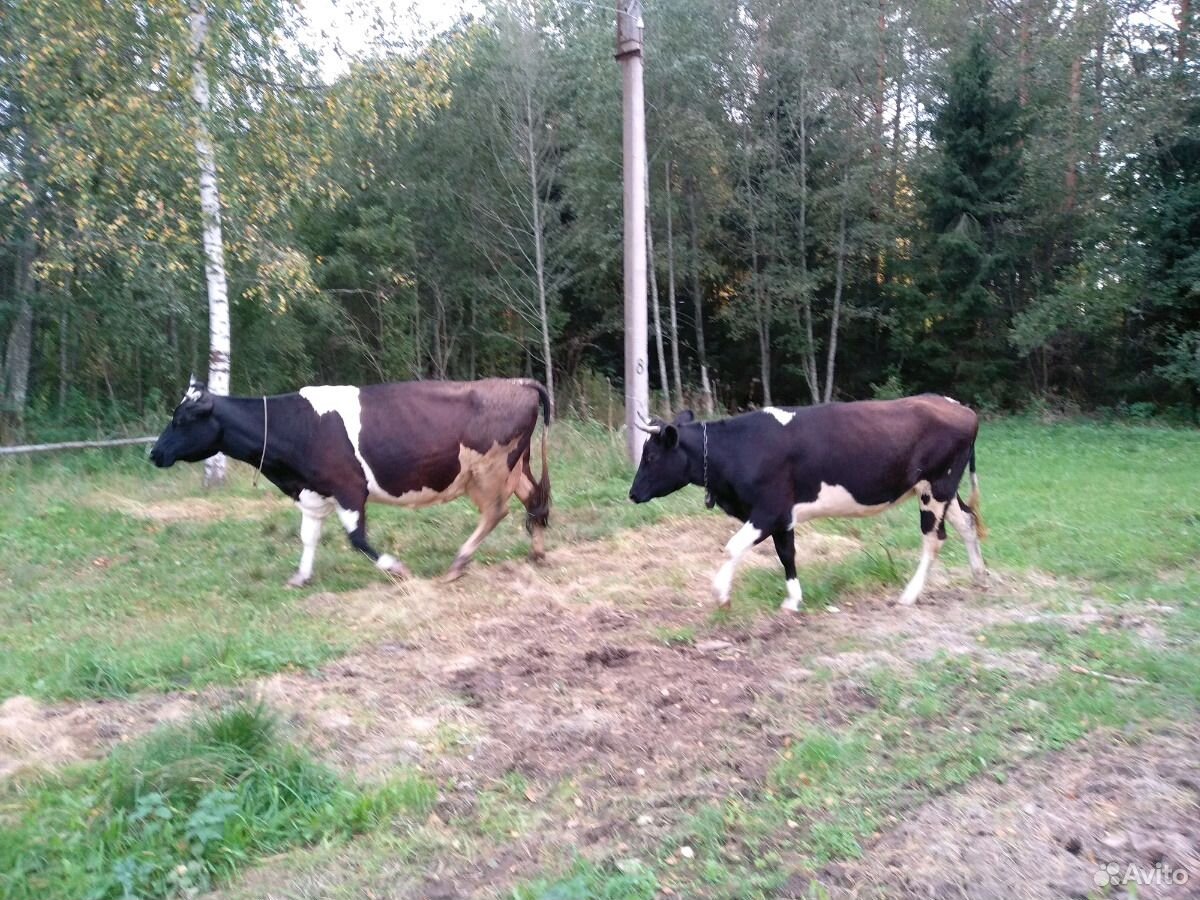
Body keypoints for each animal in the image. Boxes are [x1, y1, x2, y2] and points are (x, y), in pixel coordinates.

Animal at [150, 376, 551, 586]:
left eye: (181, 420)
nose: (154, 453)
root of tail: (519, 382)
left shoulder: (349, 488)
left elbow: (357, 539)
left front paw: (397, 568)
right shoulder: (313, 491)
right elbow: (309, 536)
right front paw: (301, 576)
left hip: (488, 471)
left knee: (496, 511)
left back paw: (459, 562)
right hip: (514, 468)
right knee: (534, 498)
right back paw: (537, 553)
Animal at [628, 395, 987, 612]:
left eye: (651, 455)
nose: (632, 493)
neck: (738, 448)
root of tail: (962, 408)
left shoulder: (768, 510)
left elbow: (732, 548)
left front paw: (721, 594)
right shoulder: (783, 515)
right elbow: (786, 554)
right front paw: (793, 600)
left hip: (935, 489)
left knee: (934, 539)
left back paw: (910, 595)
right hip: (943, 491)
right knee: (967, 521)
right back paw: (979, 575)